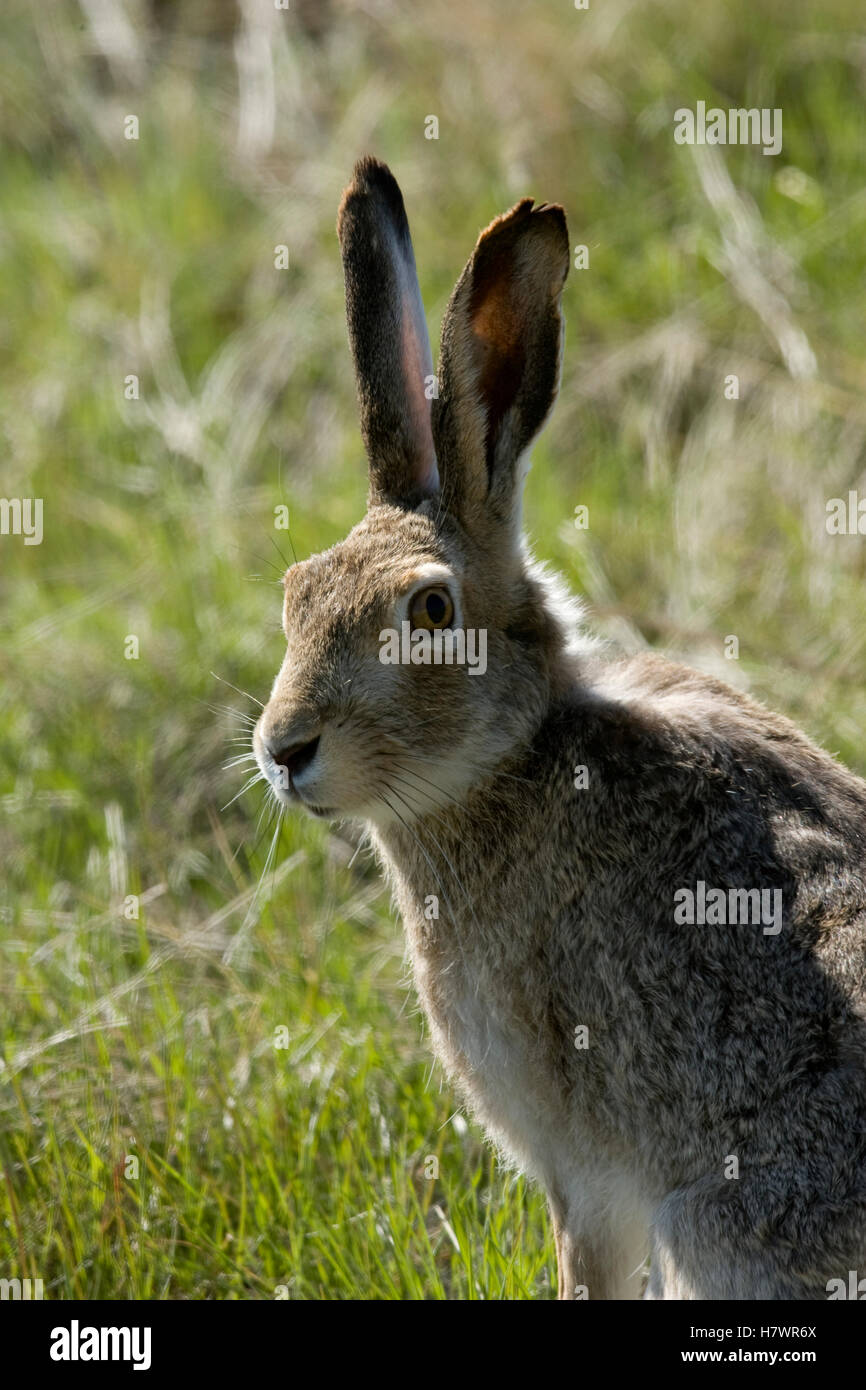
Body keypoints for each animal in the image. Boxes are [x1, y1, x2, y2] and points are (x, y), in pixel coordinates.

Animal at [252, 156, 866, 1300]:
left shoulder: (584, 1172)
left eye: (430, 612)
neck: (512, 758)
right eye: (295, 592)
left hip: (723, 1232)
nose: (283, 750)